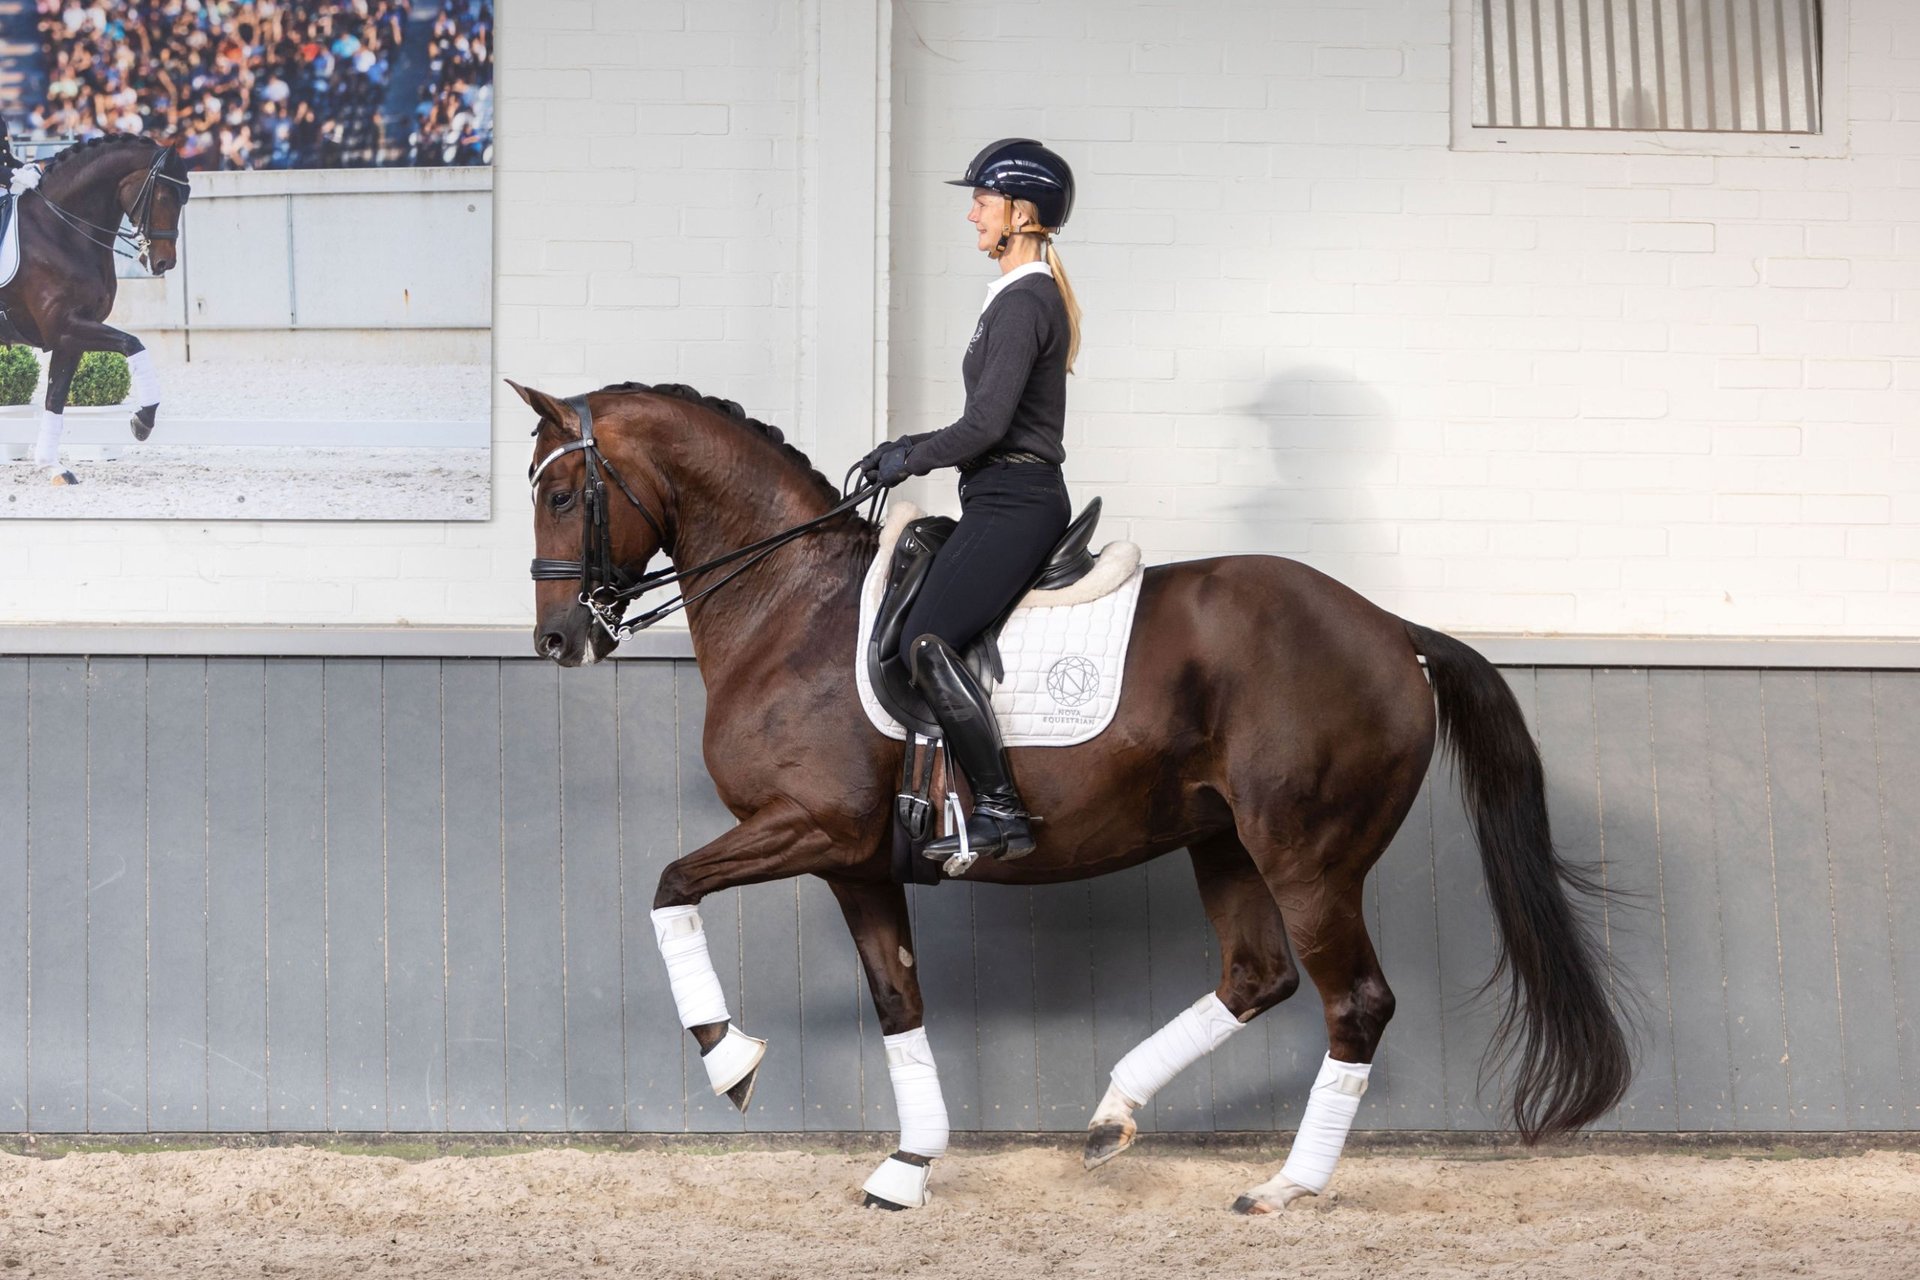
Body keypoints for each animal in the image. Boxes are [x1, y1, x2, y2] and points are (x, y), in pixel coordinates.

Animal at [1, 134, 189, 482]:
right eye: (164, 194)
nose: (163, 262)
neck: (60, 229)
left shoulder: (69, 339)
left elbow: (55, 398)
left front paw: (53, 467)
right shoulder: (64, 325)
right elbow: (133, 344)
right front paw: (143, 420)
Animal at [511, 378, 1632, 1213]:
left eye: (562, 496)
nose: (559, 640)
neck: (794, 608)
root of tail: (1395, 631)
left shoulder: (808, 827)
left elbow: (669, 886)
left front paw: (729, 1058)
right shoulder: (856, 860)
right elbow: (897, 996)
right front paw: (908, 1164)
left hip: (1307, 854)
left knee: (1353, 999)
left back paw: (1285, 1185)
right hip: (1224, 841)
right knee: (1257, 976)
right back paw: (1113, 1112)